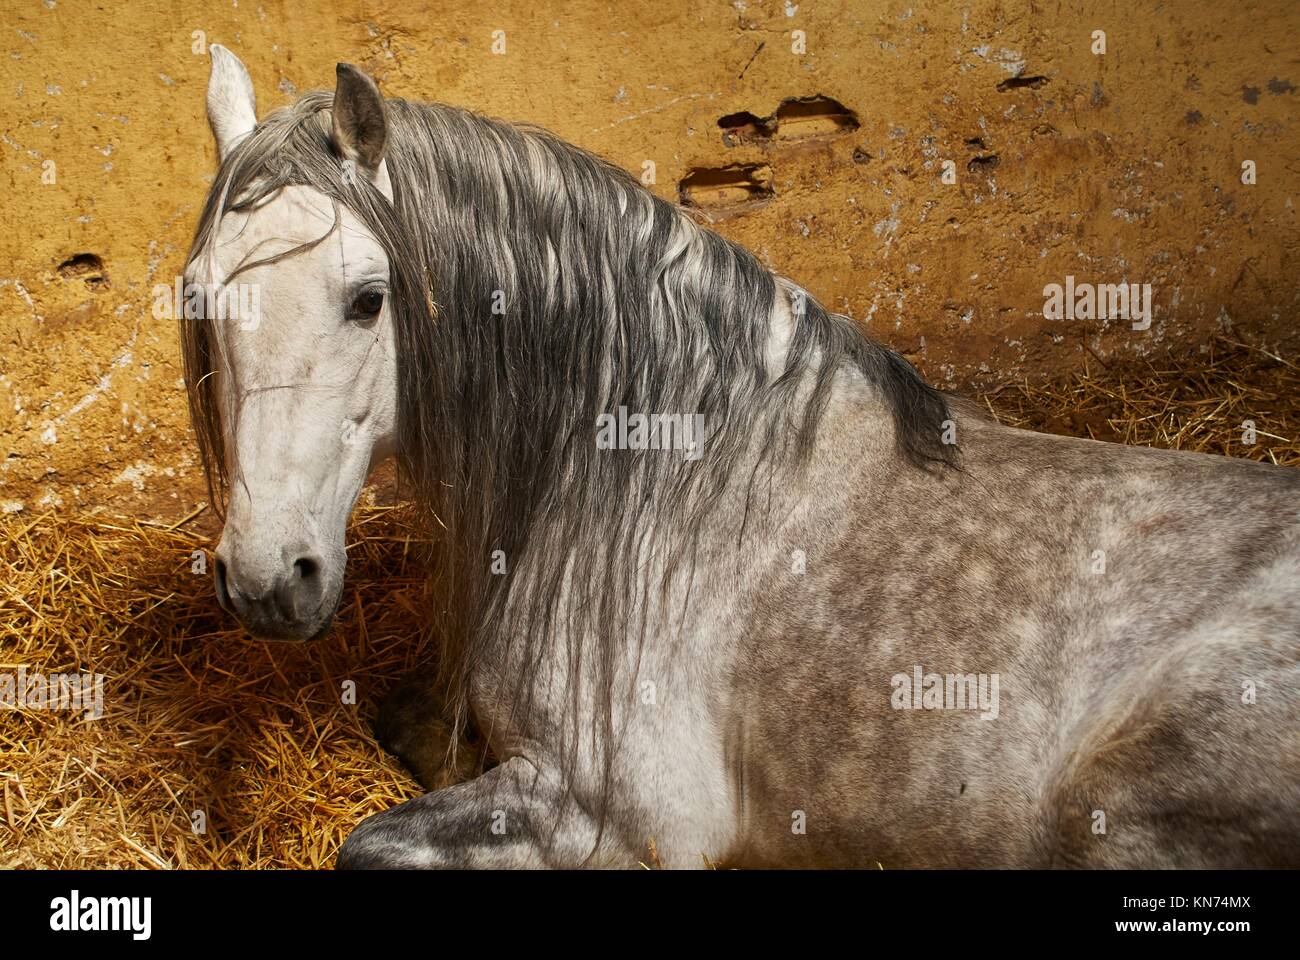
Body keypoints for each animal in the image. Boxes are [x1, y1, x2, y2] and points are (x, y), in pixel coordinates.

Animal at [183, 46, 1300, 868]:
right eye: (199, 296)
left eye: (368, 297)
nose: (267, 576)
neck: (654, 473)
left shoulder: (609, 815)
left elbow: (366, 846)